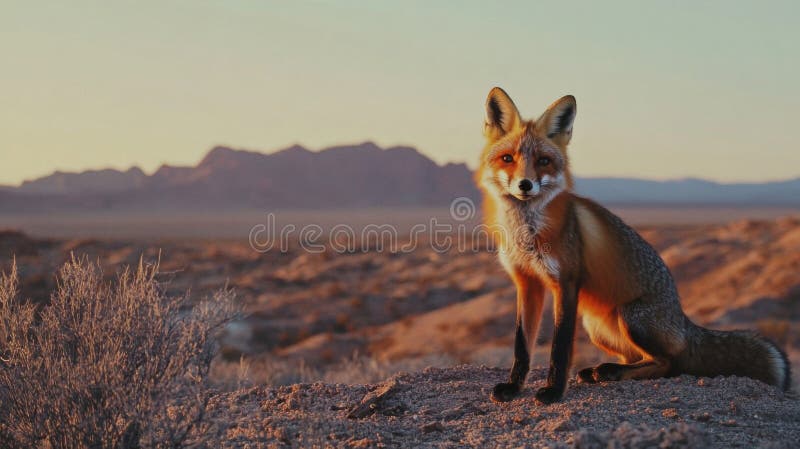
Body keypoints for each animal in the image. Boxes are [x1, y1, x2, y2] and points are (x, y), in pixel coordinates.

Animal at [476, 87, 791, 404]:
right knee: (637, 358)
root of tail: (683, 321)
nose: (525, 185)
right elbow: (521, 345)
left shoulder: (566, 281)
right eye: (507, 158)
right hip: (597, 327)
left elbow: (560, 347)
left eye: (543, 161)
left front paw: (553, 391)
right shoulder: (527, 282)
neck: (526, 234)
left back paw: (610, 371)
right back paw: (602, 370)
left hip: (631, 318)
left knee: (668, 363)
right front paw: (513, 387)